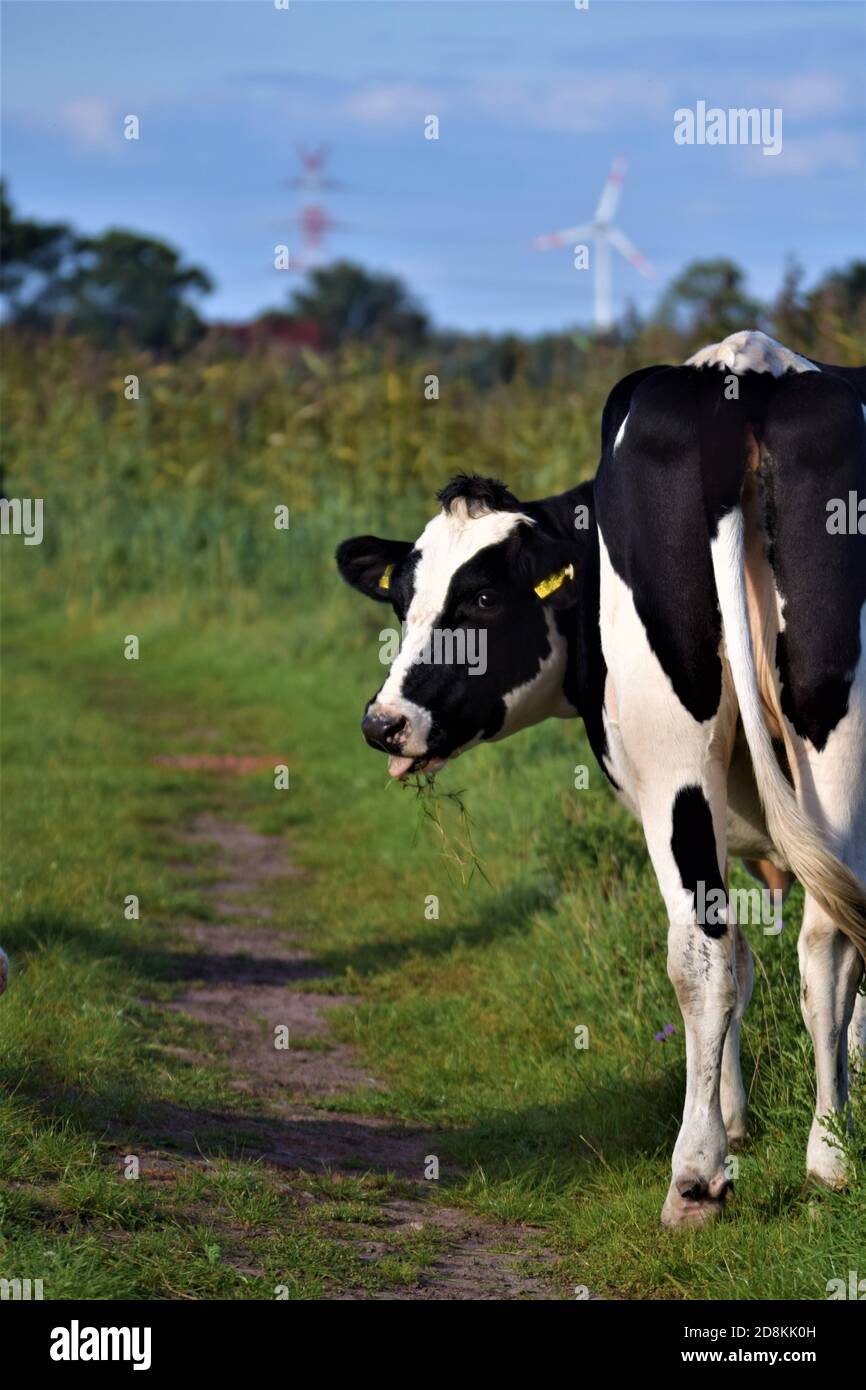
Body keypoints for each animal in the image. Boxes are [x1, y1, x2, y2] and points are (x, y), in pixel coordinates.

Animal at [336, 330, 866, 1228]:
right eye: (401, 600)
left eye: (483, 598)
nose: (384, 722)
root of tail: (743, 366)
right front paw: (745, 1116)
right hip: (814, 739)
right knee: (805, 945)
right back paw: (826, 1156)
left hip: (682, 757)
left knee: (716, 953)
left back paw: (701, 1178)